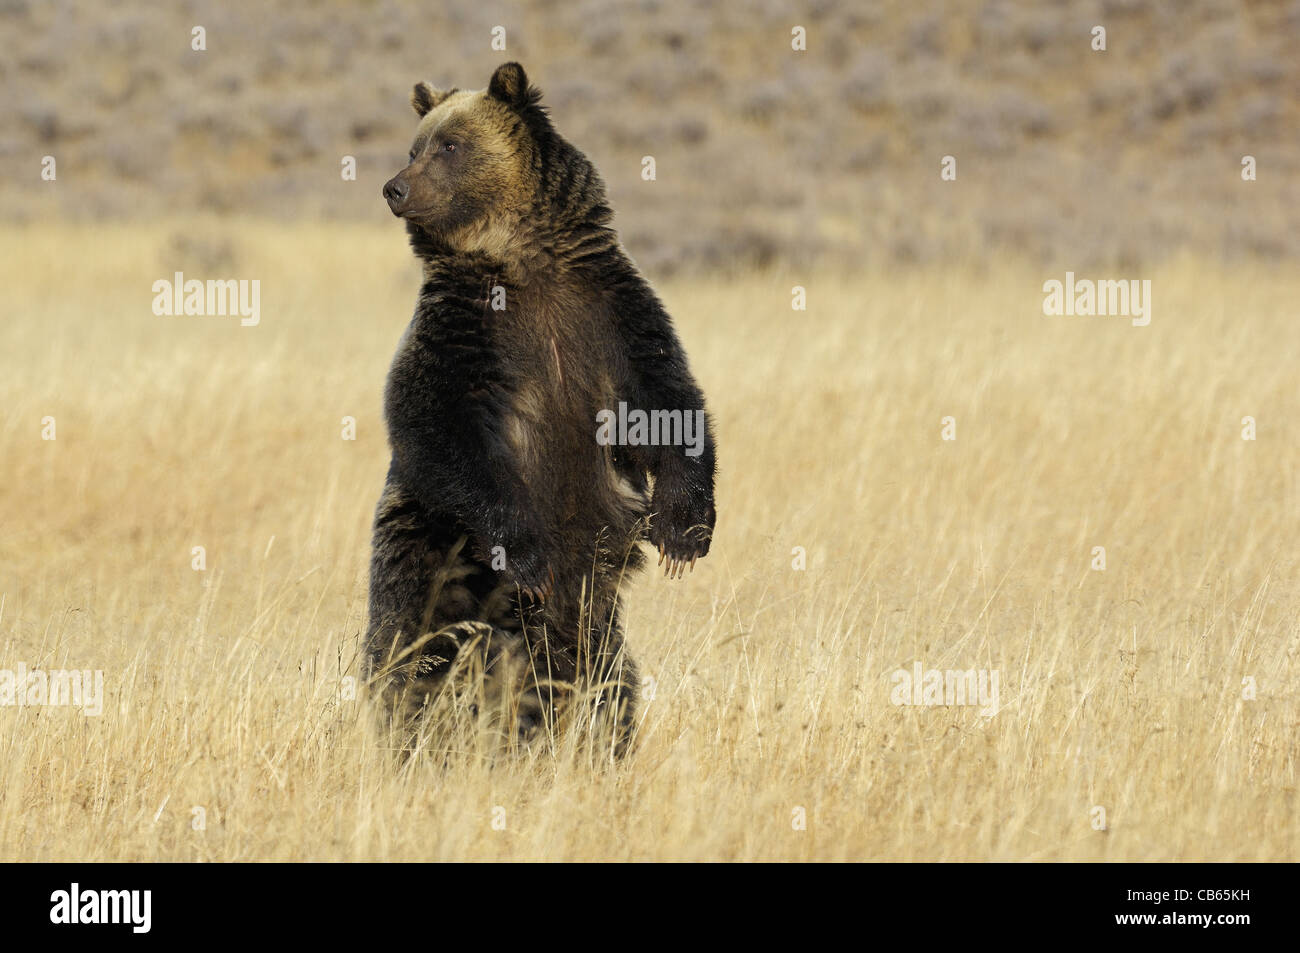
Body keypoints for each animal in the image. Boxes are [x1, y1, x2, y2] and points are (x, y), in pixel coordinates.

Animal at [366, 62, 717, 754]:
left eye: (448, 146)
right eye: (417, 146)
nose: (395, 187)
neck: (523, 263)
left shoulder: (609, 315)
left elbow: (669, 404)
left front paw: (683, 533)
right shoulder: (463, 333)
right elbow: (438, 428)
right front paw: (527, 555)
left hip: (592, 617)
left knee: (608, 679)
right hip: (434, 553)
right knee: (420, 648)